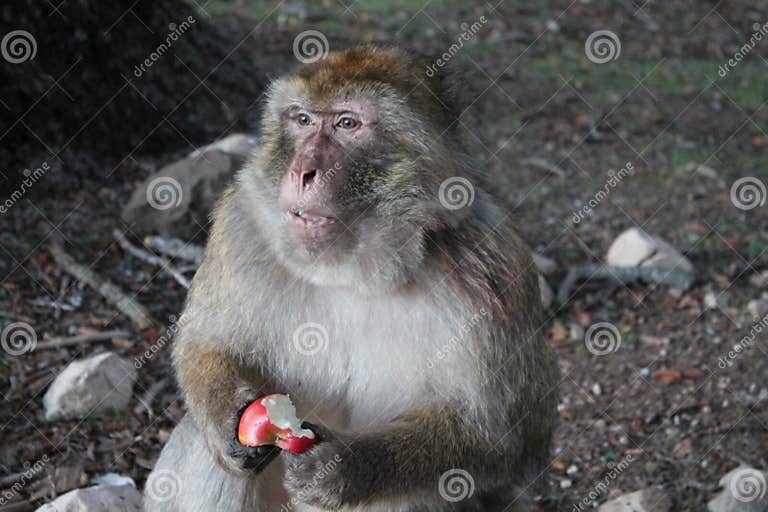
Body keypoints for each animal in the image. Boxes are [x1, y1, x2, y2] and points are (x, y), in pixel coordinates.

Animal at [143, 45, 559, 512]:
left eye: (347, 124)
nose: (302, 171)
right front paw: (226, 416)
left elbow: (503, 439)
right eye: (303, 119)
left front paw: (344, 467)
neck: (353, 272)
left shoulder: (492, 272)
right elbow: (205, 343)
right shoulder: (239, 227)